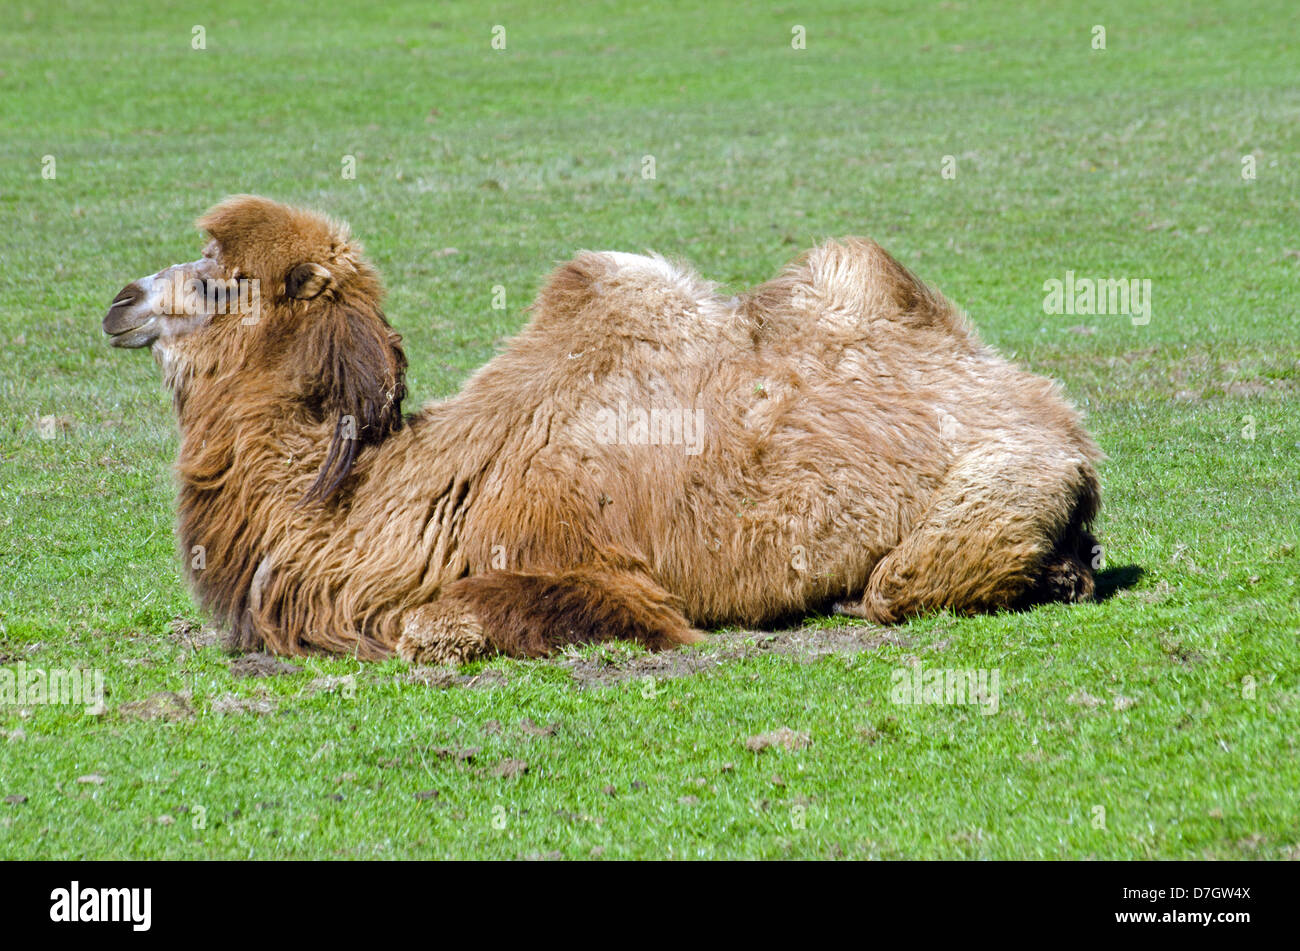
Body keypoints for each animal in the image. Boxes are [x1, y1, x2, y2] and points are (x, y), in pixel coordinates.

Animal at [101, 195, 1102, 664]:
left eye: (222, 276)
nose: (122, 301)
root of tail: (1059, 415)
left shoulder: (600, 571)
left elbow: (436, 626)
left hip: (998, 491)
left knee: (905, 583)